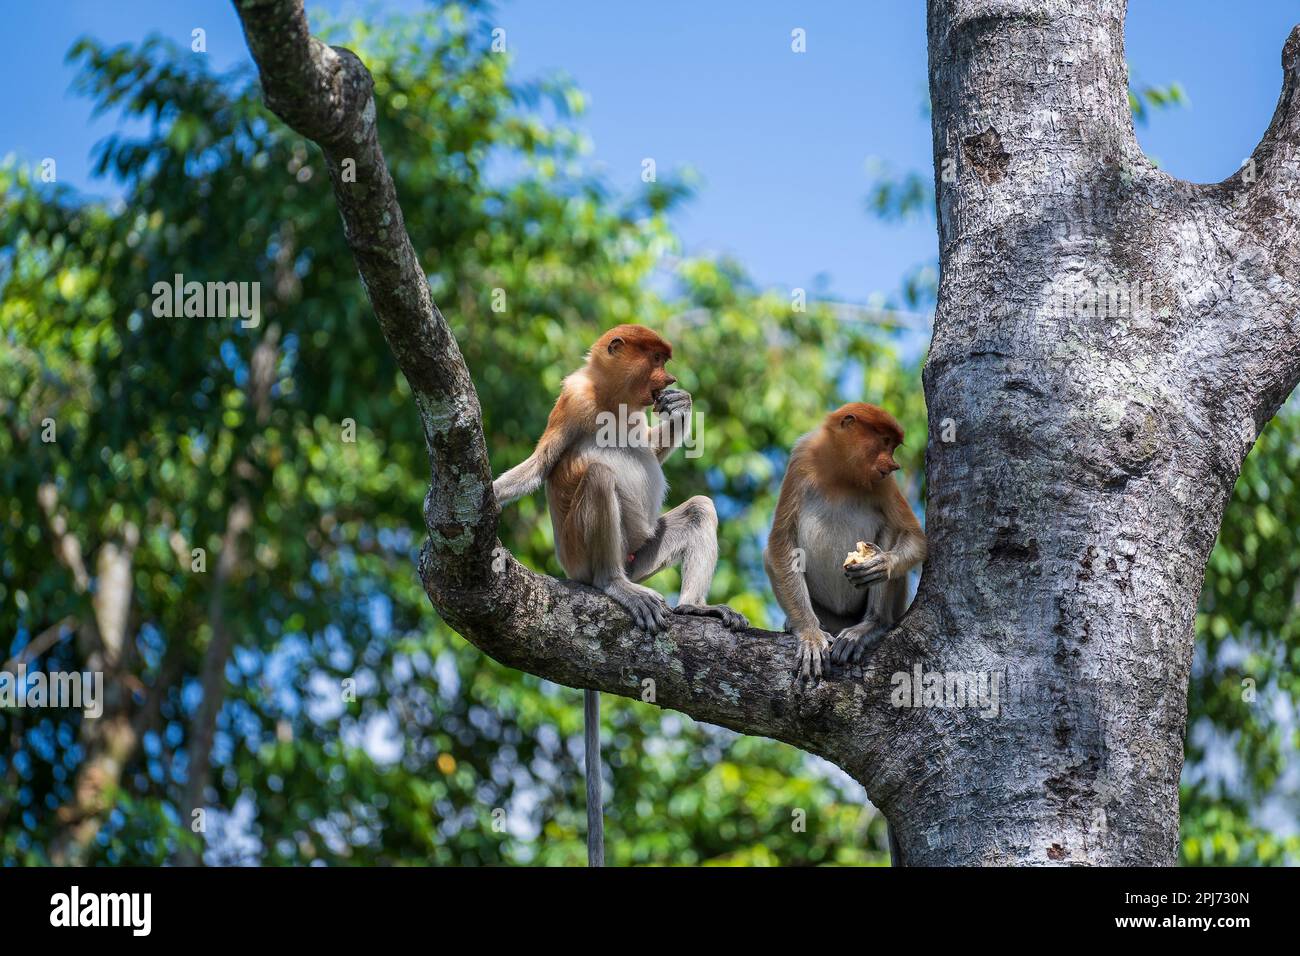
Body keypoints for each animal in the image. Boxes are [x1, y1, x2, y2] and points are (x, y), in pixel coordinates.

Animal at [493, 323, 749, 864]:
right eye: (655, 359)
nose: (668, 381)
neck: (610, 397)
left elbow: (650, 450)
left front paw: (680, 406)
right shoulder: (573, 399)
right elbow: (540, 464)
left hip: (645, 549)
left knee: (700, 508)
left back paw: (696, 608)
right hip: (589, 555)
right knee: (598, 476)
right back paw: (618, 588)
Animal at [764, 402, 926, 682]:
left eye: (893, 446)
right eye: (885, 442)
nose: (894, 465)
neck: (840, 472)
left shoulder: (884, 483)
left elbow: (914, 536)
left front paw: (880, 565)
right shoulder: (802, 458)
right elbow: (780, 540)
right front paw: (810, 635)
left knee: (892, 529)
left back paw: (870, 626)